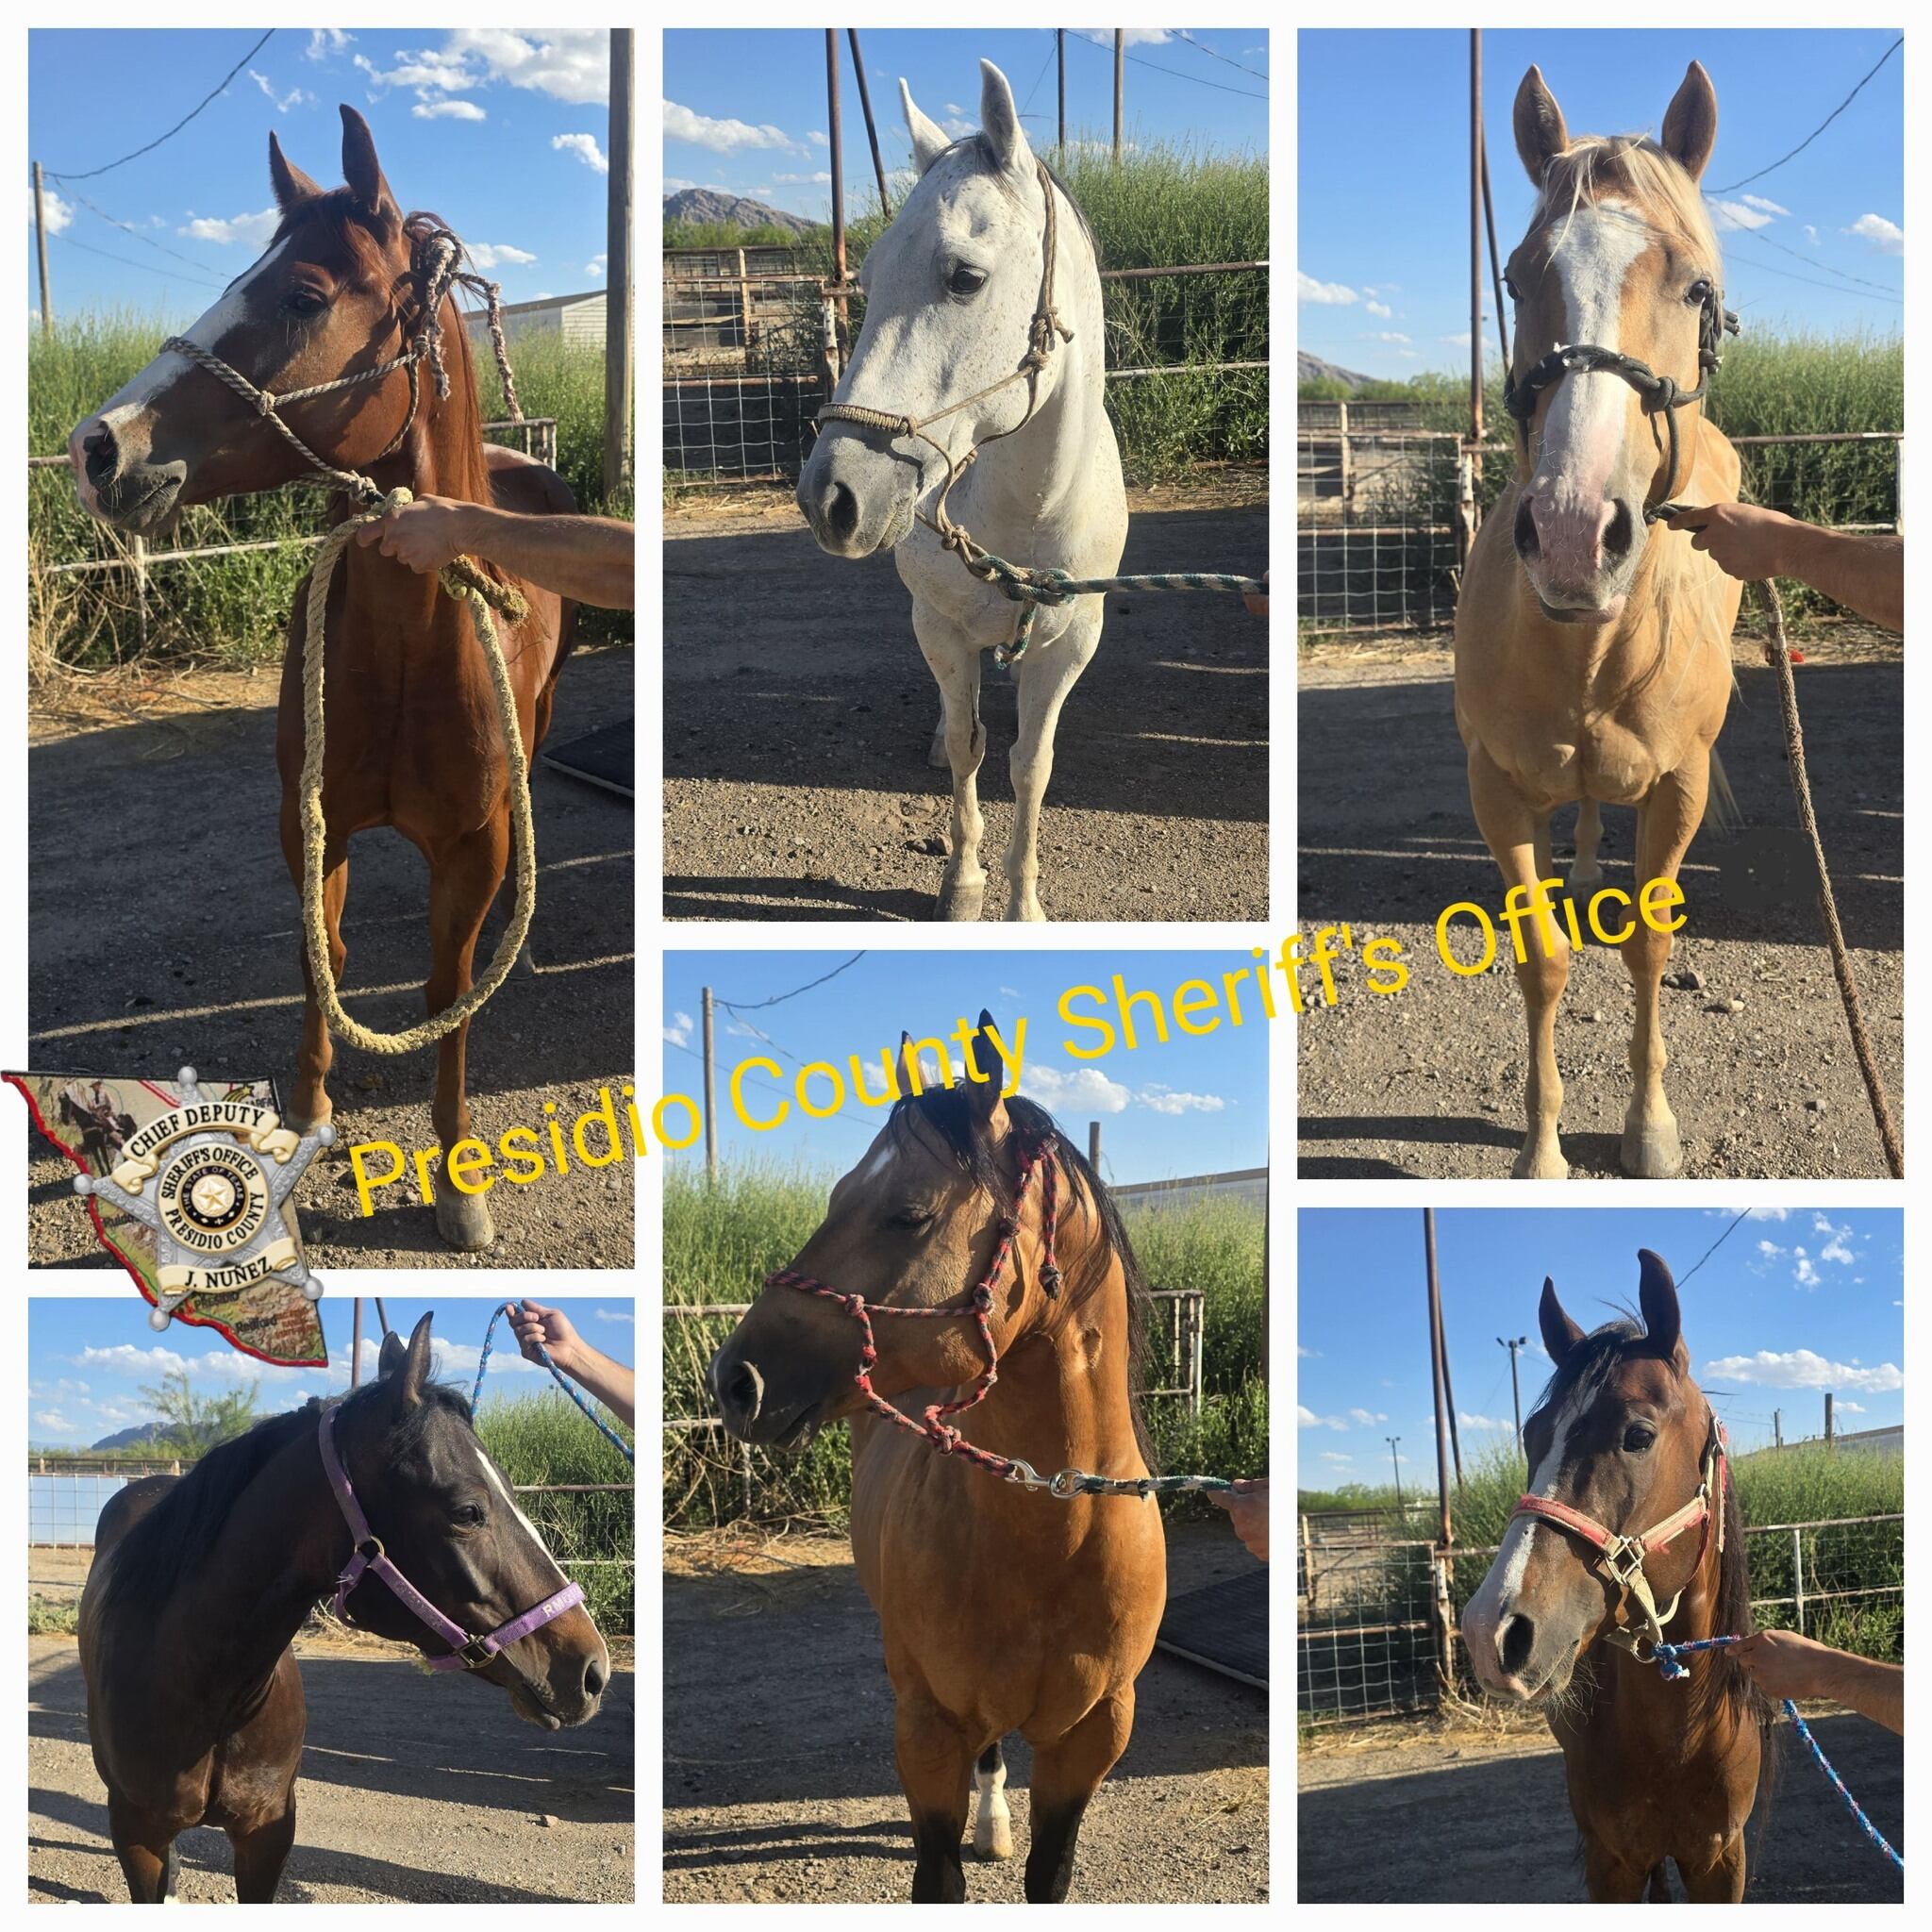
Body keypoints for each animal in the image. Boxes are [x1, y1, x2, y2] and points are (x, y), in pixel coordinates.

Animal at [66, 105, 579, 1250]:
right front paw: (303, 1116)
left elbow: (445, 987)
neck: (409, 659)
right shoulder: (310, 821)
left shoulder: (472, 849)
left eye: (302, 295)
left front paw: (458, 1181)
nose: (96, 447)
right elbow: (323, 955)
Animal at [708, 1024, 1164, 1901]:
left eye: (909, 1213)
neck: (1058, 1531)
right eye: (836, 1194)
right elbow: (938, 1875)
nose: (736, 1380)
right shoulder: (928, 1729)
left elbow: (1052, 1873)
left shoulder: (1094, 1738)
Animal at [796, 62, 1125, 923]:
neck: (1029, 512)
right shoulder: (939, 627)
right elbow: (967, 747)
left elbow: (1031, 764)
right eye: (867, 281)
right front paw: (963, 884)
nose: (831, 497)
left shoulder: (1071, 644)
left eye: (965, 278)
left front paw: (1023, 905)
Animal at [1454, 62, 1743, 1179]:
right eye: (1514, 278)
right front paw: (1540, 1145)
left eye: (1695, 287)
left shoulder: (1681, 783)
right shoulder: (1495, 785)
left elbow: (1650, 945)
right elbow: (1542, 958)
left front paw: (1648, 1129)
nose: (1576, 533)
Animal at [1461, 1249, 1769, 1901]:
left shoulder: (1722, 1860)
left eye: (1638, 1435)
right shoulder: (1612, 1863)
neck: (1676, 1738)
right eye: (1531, 1435)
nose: (1487, 1631)